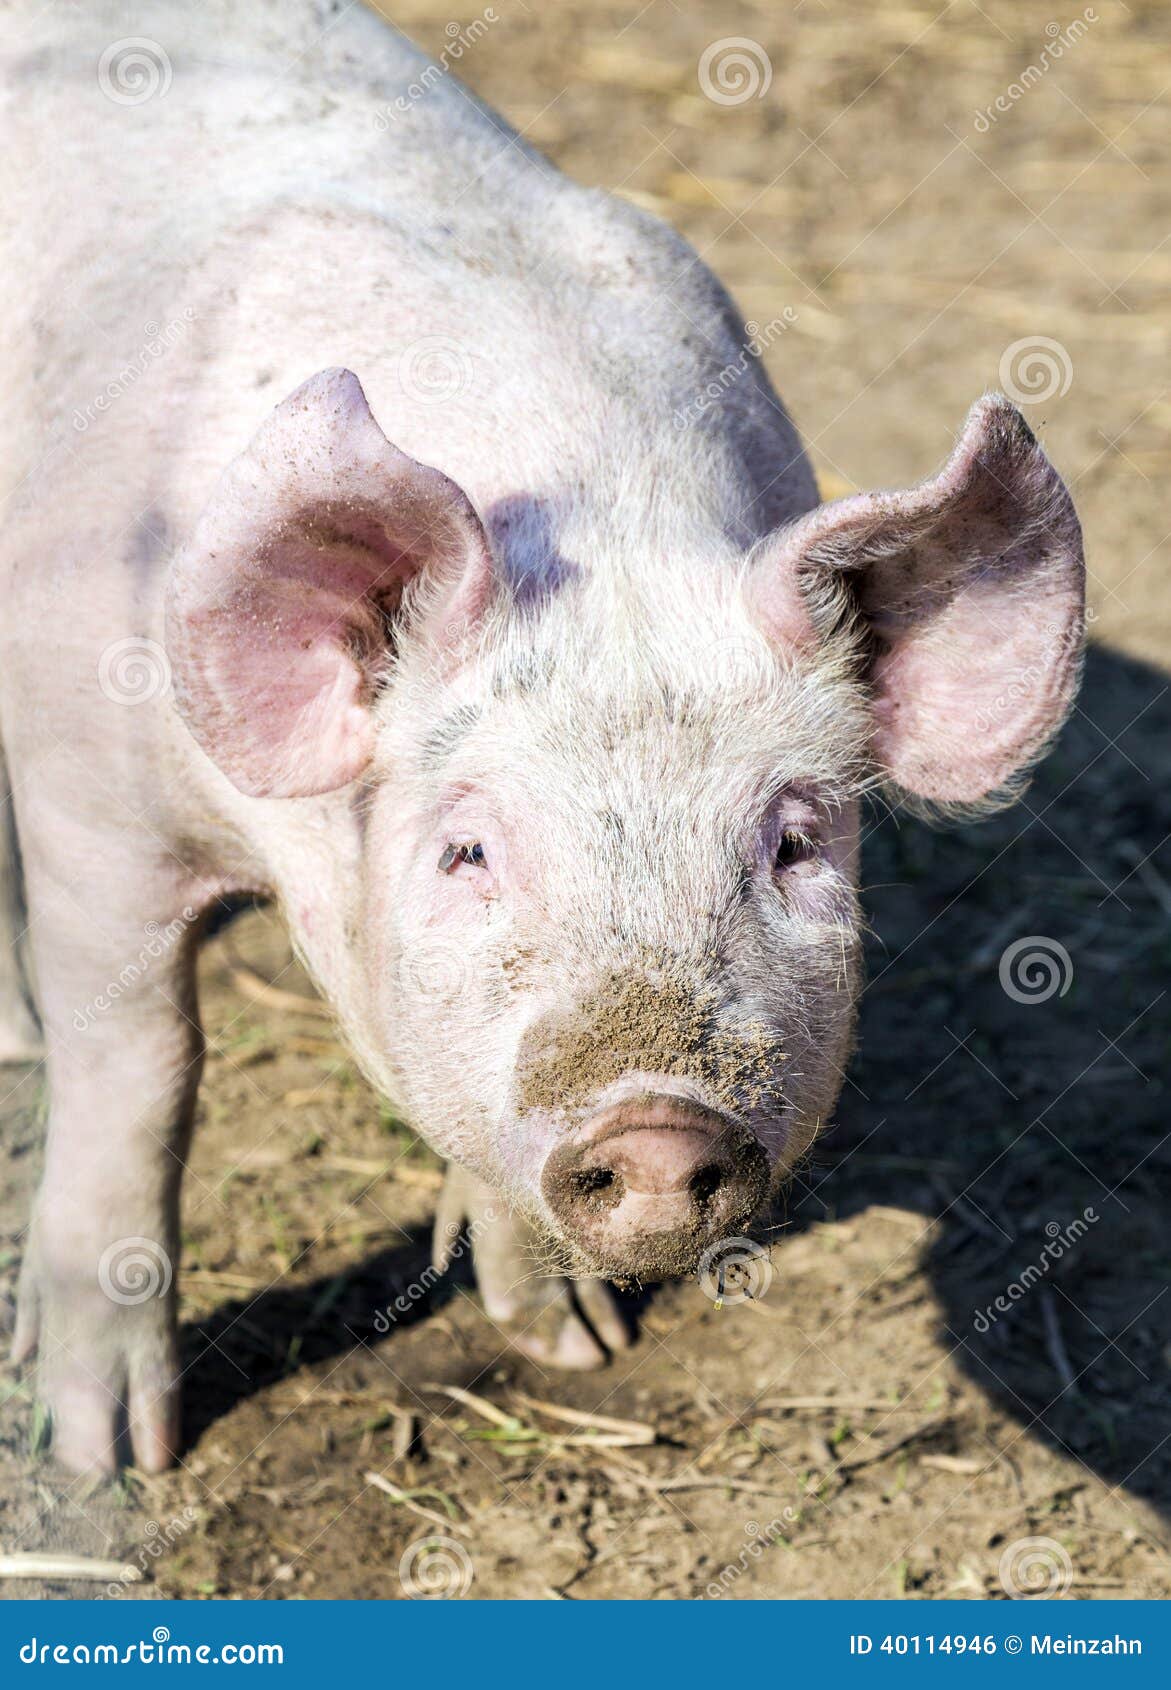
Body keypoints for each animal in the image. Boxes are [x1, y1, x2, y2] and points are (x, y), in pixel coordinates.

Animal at [0, 0, 1084, 1474]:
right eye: (465, 850)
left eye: (794, 844)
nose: (655, 1119)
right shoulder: (92, 805)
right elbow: (144, 1075)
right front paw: (109, 1451)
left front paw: (574, 1343)